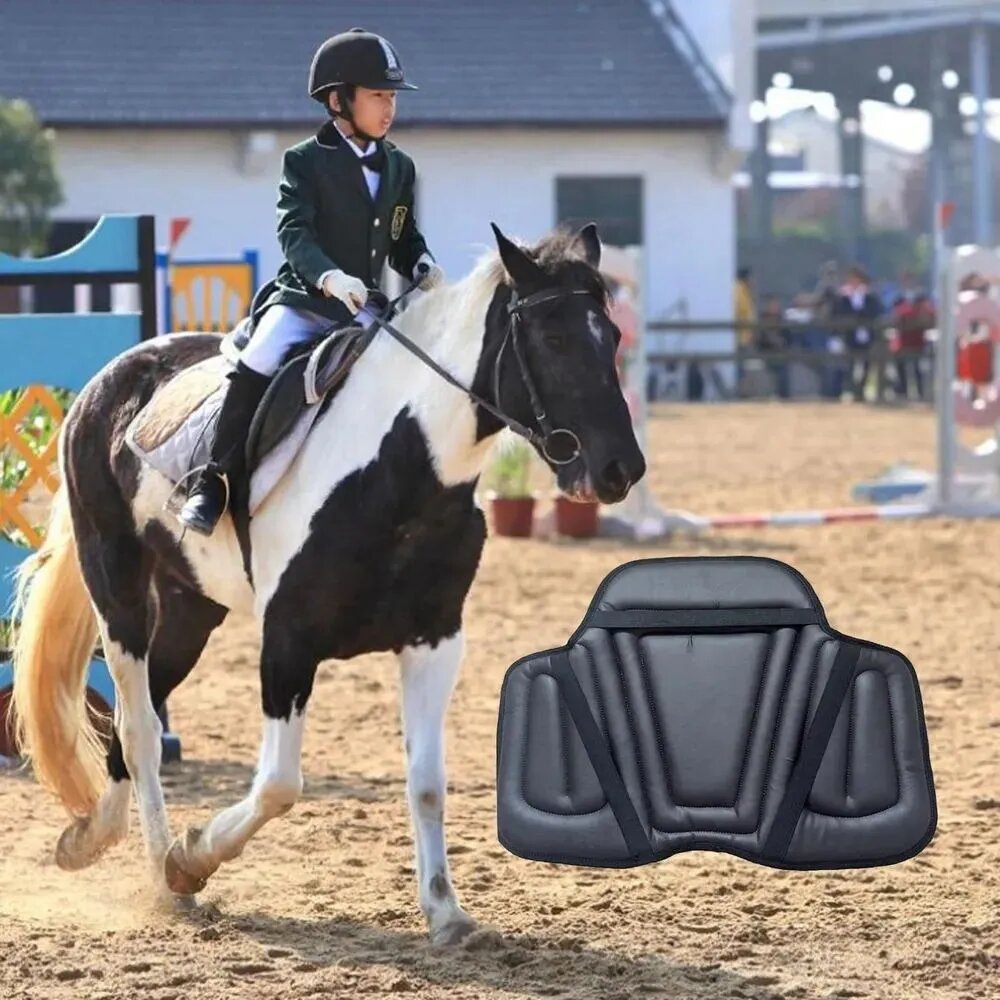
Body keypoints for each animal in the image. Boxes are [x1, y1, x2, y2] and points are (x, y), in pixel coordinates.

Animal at [10, 221, 645, 945]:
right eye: (555, 338)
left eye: (612, 336)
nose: (621, 469)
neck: (403, 469)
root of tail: (111, 379)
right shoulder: (287, 640)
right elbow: (279, 783)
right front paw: (191, 859)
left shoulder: (436, 640)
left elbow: (427, 780)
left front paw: (445, 911)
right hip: (116, 589)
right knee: (140, 724)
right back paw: (160, 874)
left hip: (190, 610)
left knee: (123, 718)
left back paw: (88, 836)